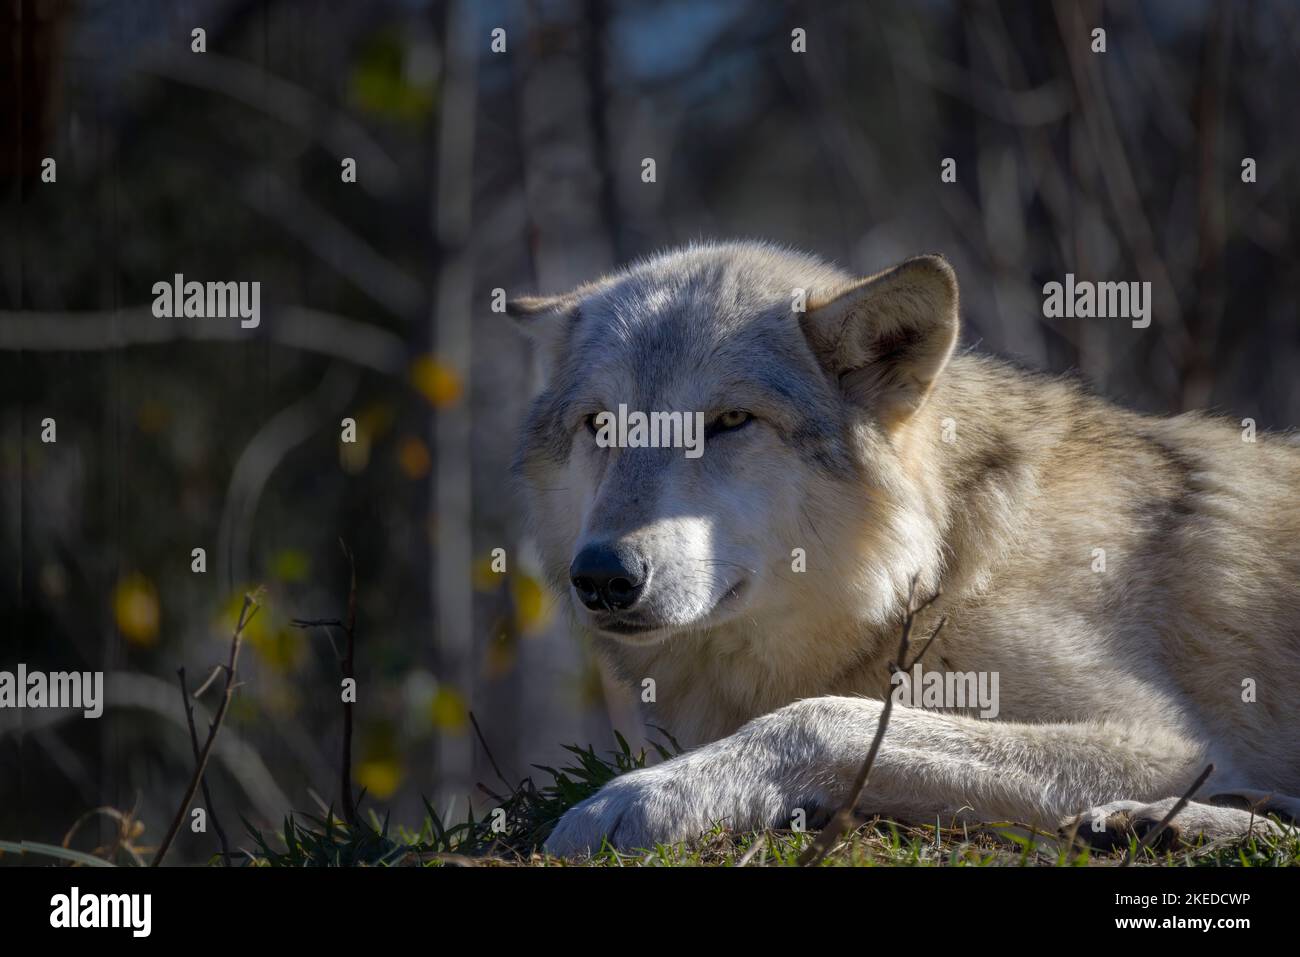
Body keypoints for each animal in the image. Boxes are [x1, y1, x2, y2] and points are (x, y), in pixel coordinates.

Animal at [507, 241, 1300, 856]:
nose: (603, 574)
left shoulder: (1162, 739)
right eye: (601, 425)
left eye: (730, 419)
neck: (946, 564)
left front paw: (637, 798)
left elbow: (826, 716)